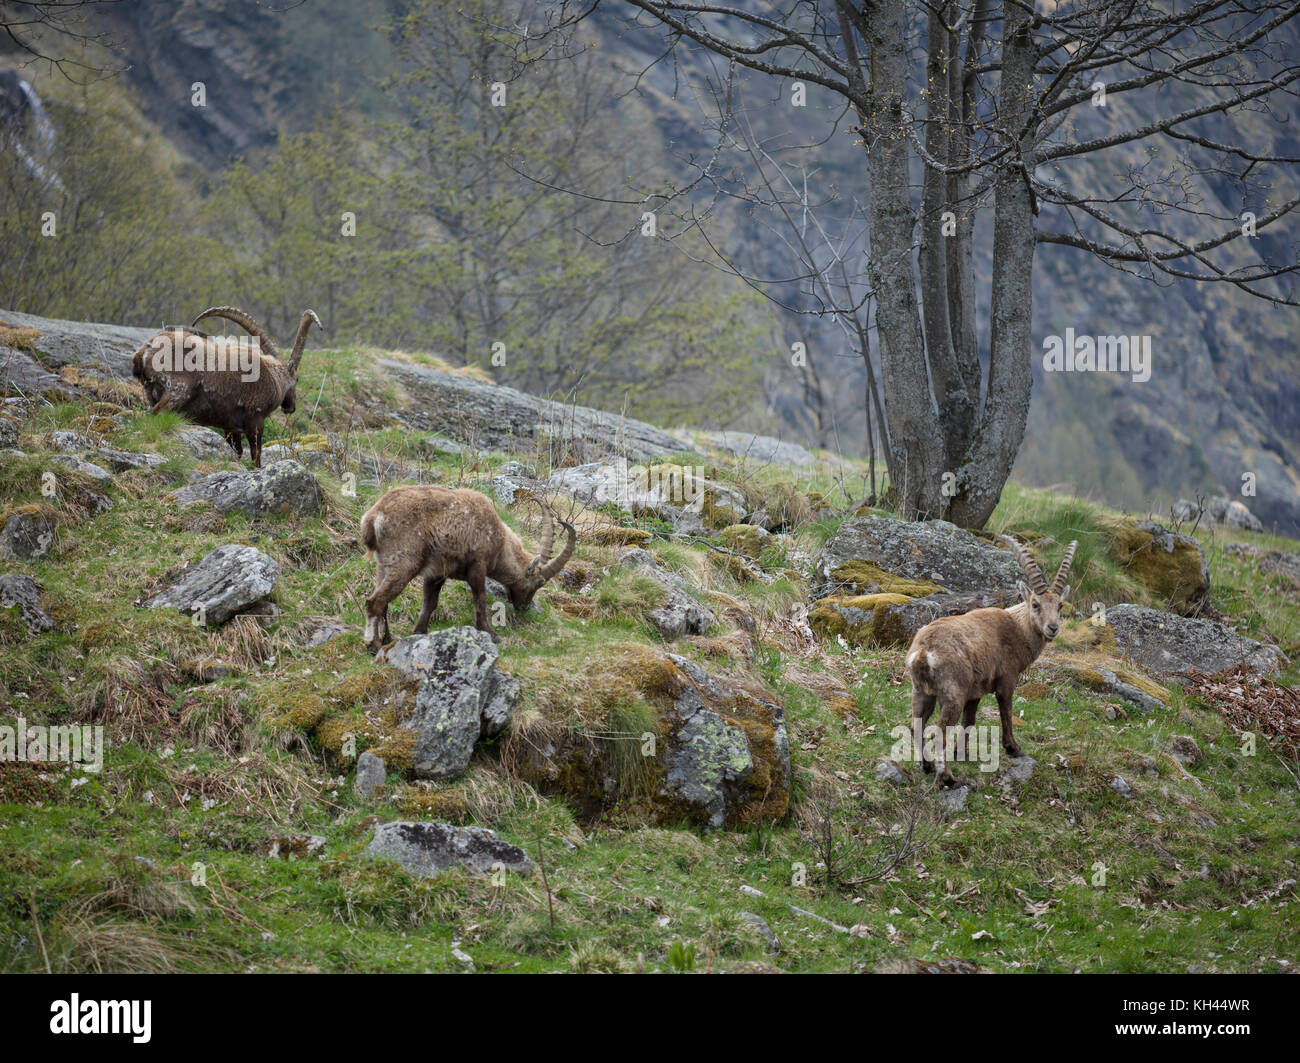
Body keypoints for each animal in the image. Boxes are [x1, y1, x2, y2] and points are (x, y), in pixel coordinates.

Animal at [131, 306, 322, 467]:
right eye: (297, 379)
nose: (291, 407)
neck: (274, 377)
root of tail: (145, 351)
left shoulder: (230, 426)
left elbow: (238, 450)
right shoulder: (255, 418)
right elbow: (256, 455)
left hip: (150, 392)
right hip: (179, 391)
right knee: (158, 413)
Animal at [360, 485, 577, 648]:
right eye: (536, 583)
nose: (524, 607)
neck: (500, 544)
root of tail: (373, 517)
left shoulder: (436, 573)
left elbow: (430, 603)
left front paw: (420, 631)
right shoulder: (477, 566)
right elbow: (479, 598)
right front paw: (490, 633)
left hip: (383, 565)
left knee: (382, 603)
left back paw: (388, 638)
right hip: (404, 563)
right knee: (374, 602)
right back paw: (373, 644)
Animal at [905, 536, 1077, 788]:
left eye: (1060, 605)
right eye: (1035, 604)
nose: (1053, 628)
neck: (1017, 629)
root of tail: (923, 652)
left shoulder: (974, 692)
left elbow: (969, 721)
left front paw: (961, 752)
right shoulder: (1007, 679)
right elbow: (1006, 710)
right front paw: (1013, 748)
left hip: (921, 691)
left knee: (916, 726)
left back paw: (926, 766)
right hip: (952, 694)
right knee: (939, 733)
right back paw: (947, 777)